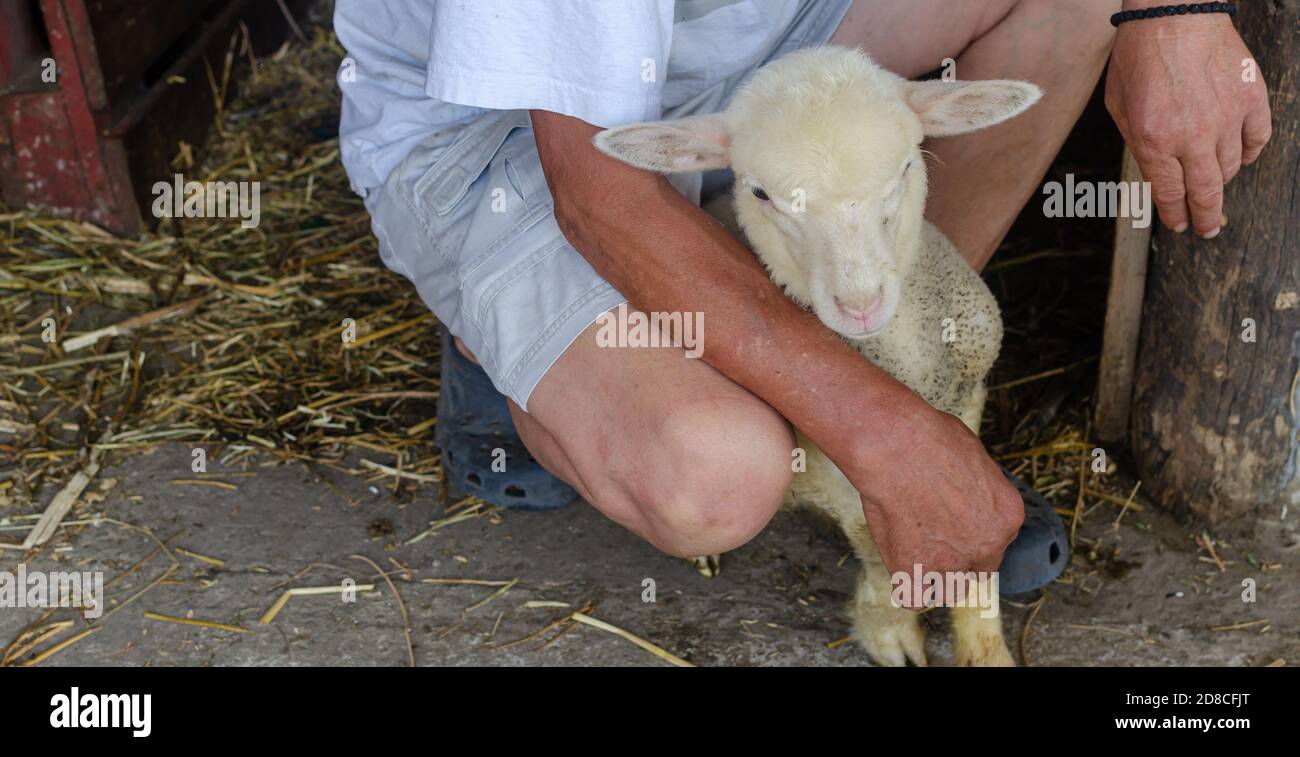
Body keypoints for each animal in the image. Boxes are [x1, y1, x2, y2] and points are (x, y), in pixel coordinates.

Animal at [593, 45, 1041, 666]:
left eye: (906, 167)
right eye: (761, 194)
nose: (860, 304)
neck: (905, 360)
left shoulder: (967, 402)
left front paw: (983, 645)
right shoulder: (841, 462)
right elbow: (877, 542)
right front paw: (889, 629)